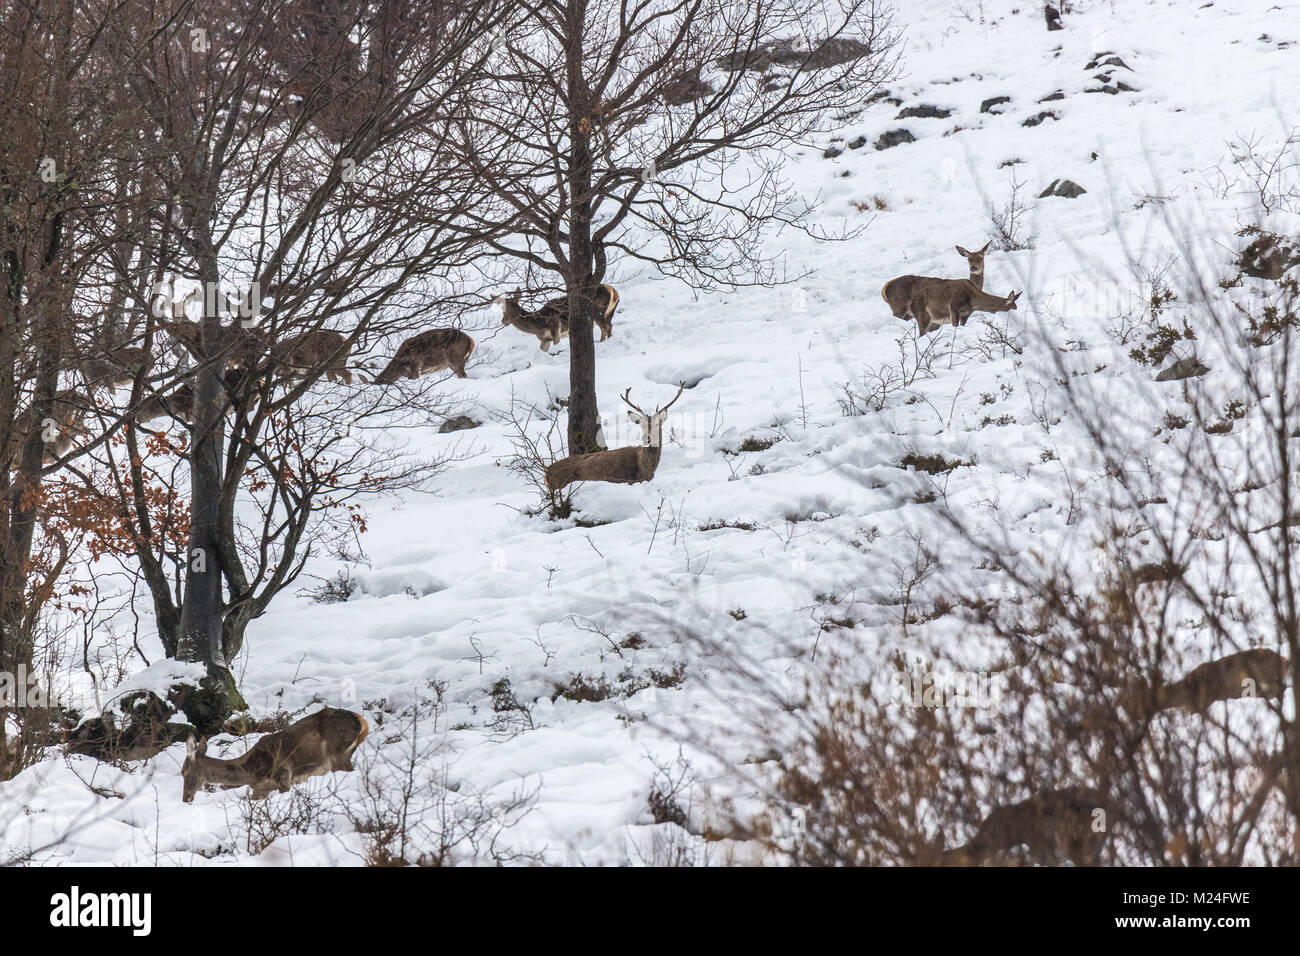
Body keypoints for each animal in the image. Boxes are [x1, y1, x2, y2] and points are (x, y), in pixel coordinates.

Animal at [181, 707, 369, 803]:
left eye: (183, 771)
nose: (185, 797)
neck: (249, 772)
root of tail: (362, 721)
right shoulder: (260, 788)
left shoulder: (284, 773)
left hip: (337, 752)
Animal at [545, 383, 684, 491]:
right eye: (642, 425)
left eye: (657, 424)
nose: (648, 438)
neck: (645, 468)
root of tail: (547, 473)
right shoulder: (627, 479)